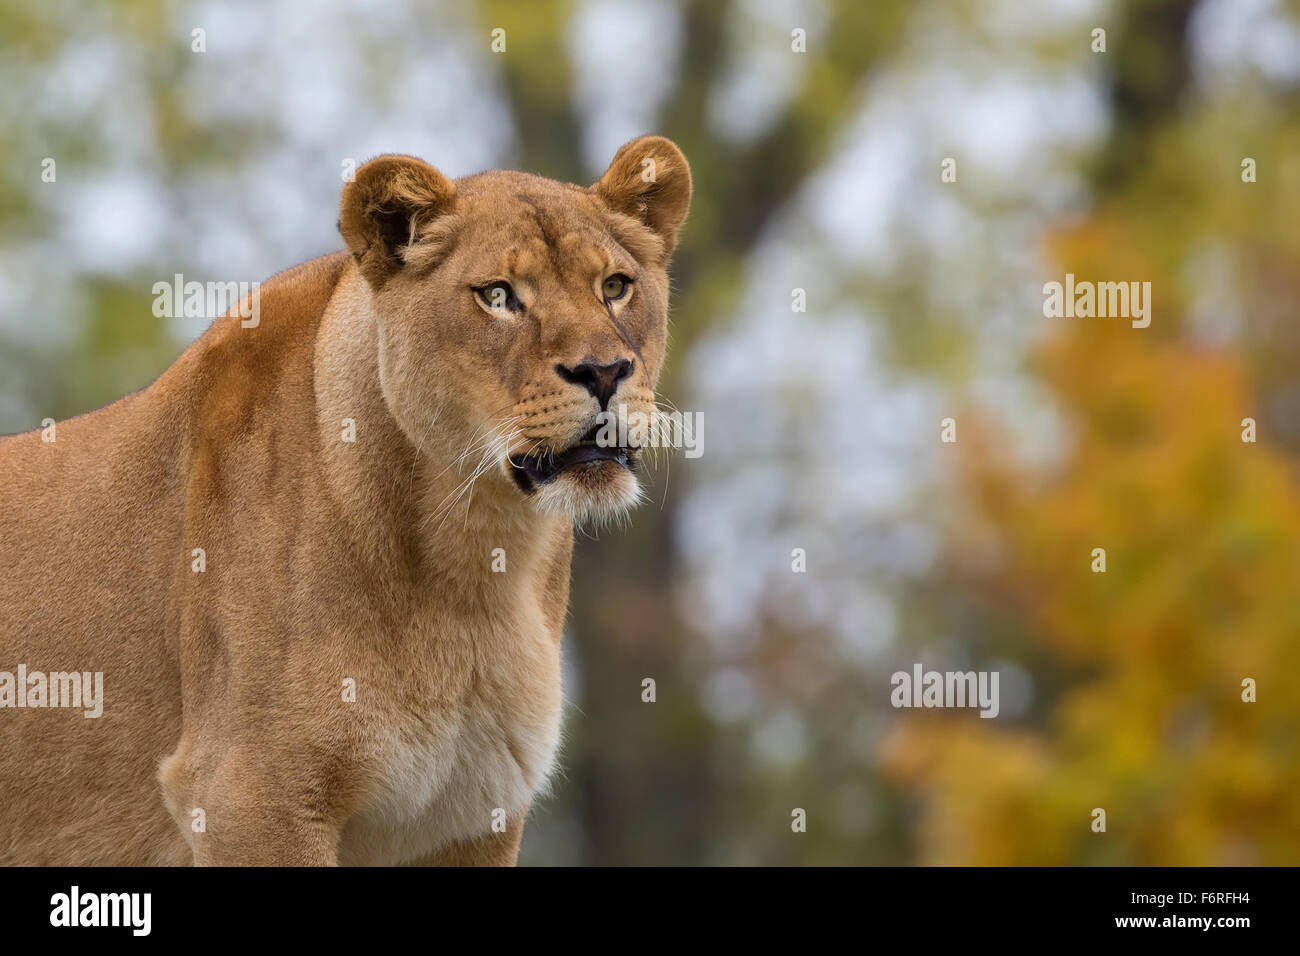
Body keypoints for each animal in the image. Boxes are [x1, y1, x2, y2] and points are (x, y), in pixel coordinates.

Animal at [0, 135, 691, 865]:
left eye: (614, 286)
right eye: (498, 296)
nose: (605, 372)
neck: (473, 559)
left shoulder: (474, 819)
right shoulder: (248, 792)